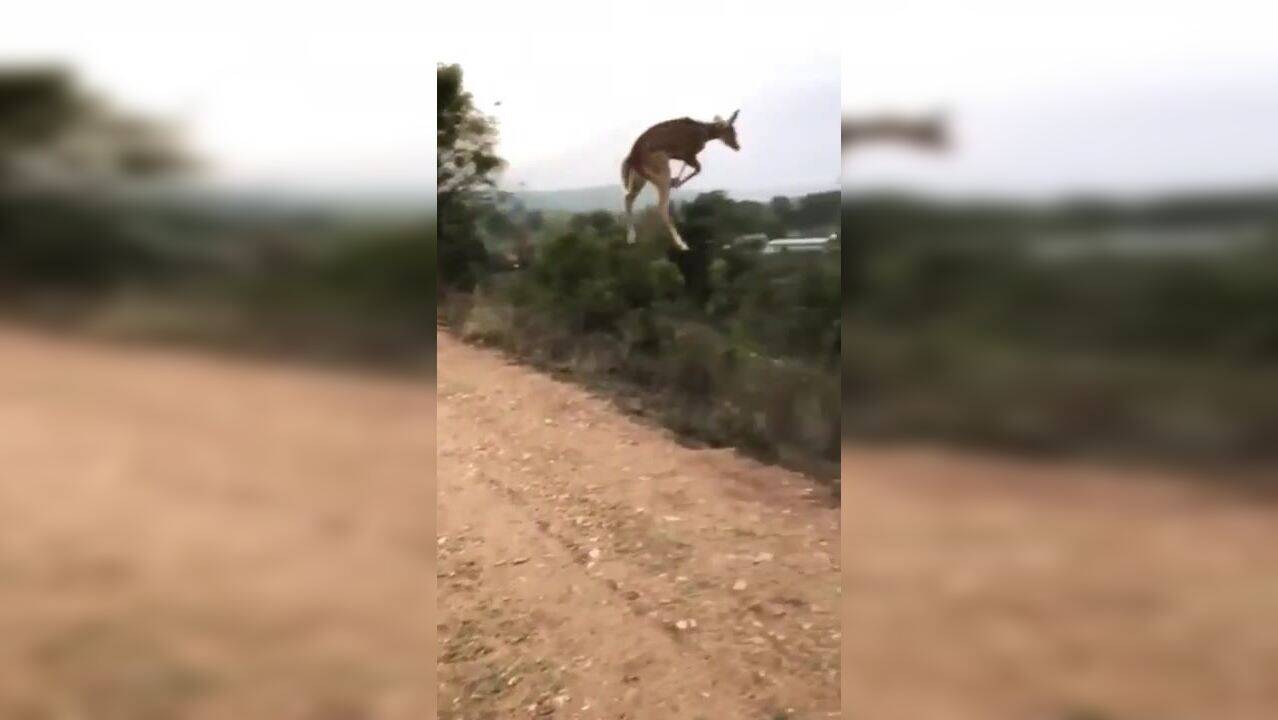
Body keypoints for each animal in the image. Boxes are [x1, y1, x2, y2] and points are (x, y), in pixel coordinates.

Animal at [621, 111, 740, 251]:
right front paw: (676, 182)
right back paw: (682, 244)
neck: (705, 133)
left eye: (734, 131)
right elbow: (698, 168)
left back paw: (631, 238)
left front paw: (676, 181)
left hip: (640, 178)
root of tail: (632, 159)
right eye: (730, 131)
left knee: (628, 198)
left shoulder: (685, 156)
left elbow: (695, 168)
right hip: (661, 168)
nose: (737, 146)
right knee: (661, 206)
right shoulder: (687, 154)